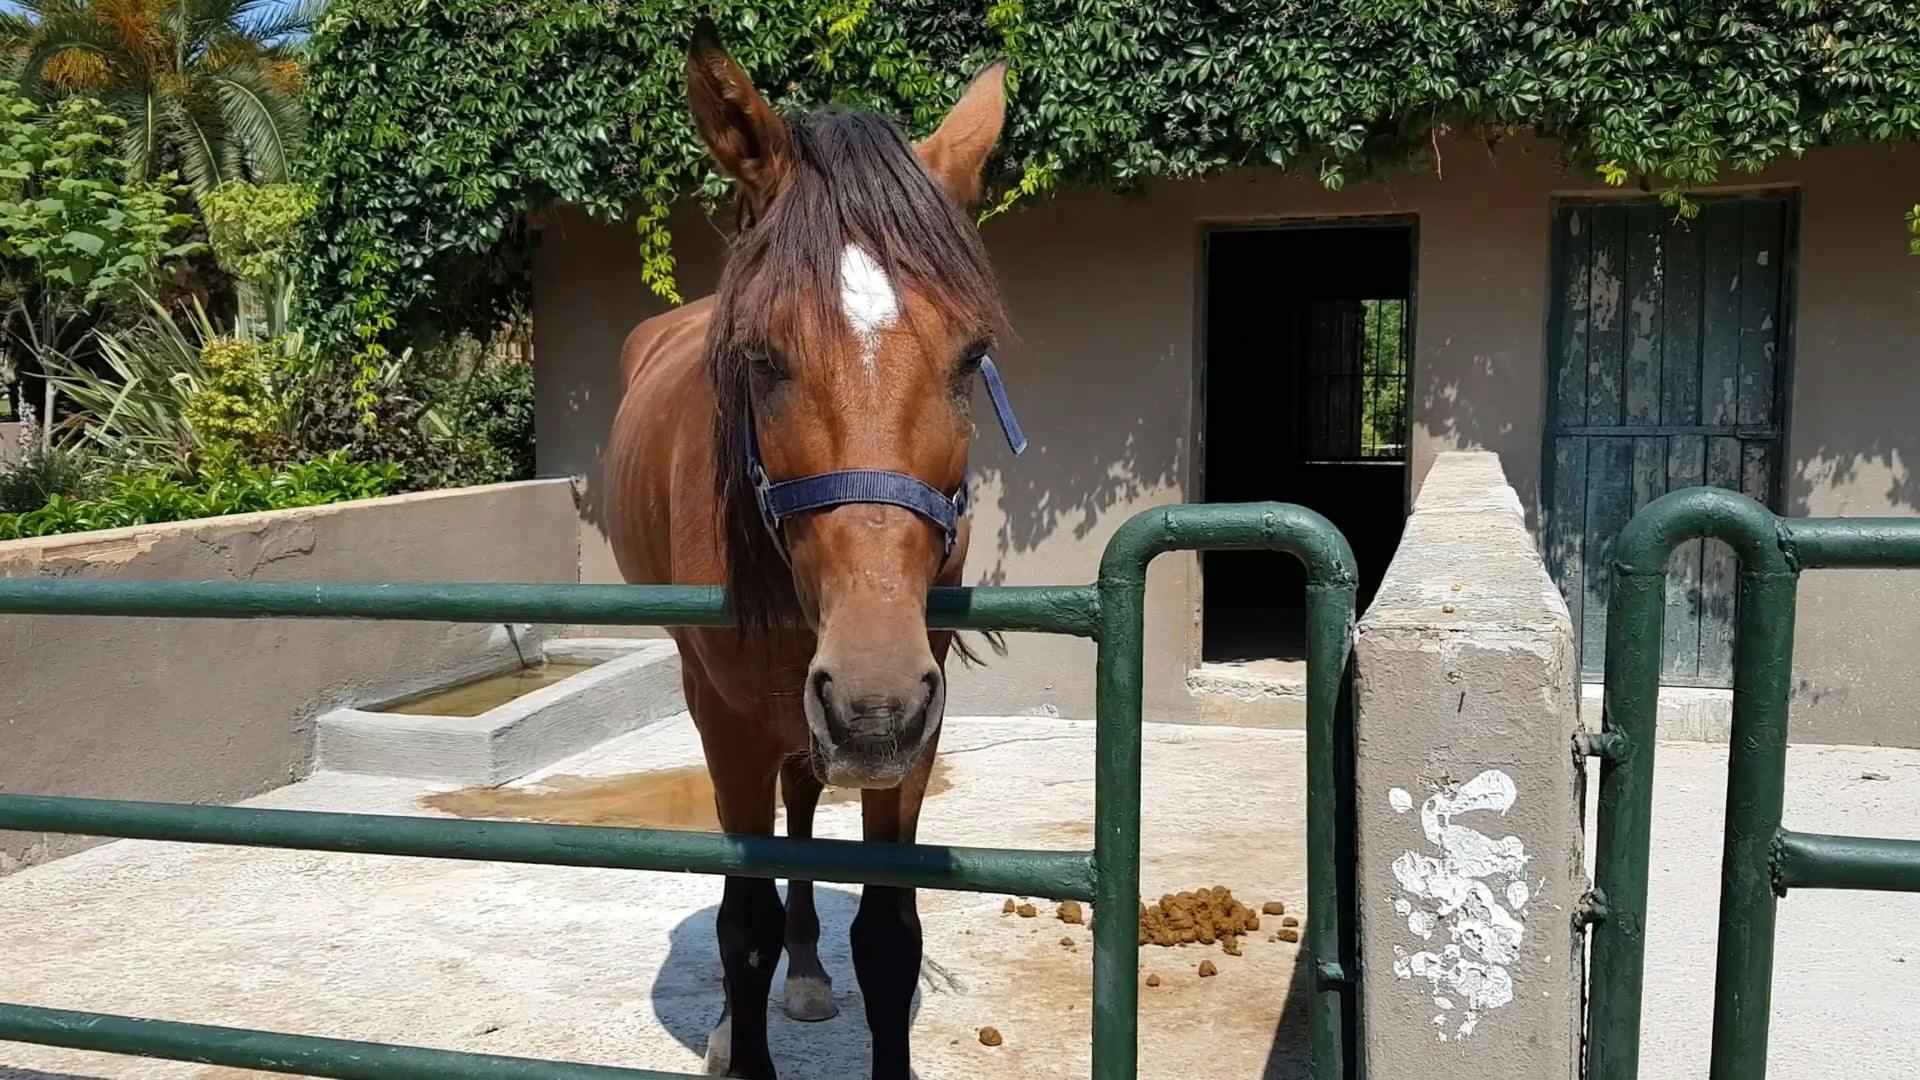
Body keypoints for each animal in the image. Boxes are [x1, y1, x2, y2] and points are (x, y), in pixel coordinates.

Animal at [604, 20, 1018, 1080]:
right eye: (758, 357)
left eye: (971, 357)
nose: (873, 701)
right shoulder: (729, 721)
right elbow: (739, 925)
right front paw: (741, 1038)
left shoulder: (917, 725)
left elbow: (889, 937)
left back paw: (806, 970)